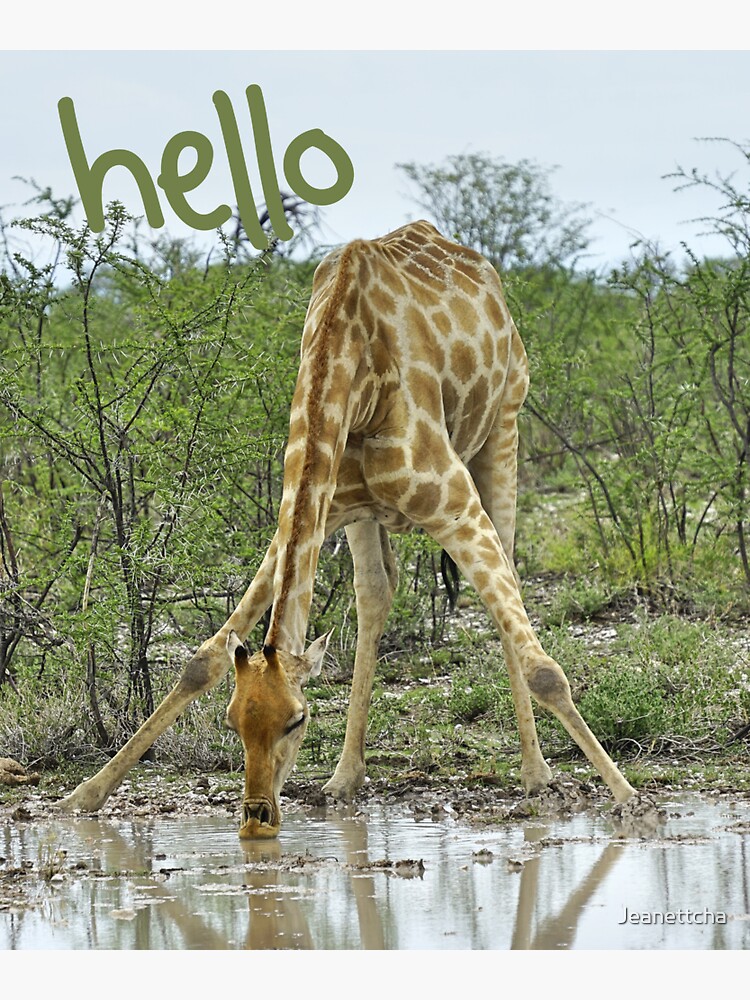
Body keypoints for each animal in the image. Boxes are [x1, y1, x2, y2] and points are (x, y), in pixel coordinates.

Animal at [58, 220, 635, 836]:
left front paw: (627, 797)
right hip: (366, 515)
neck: (352, 368)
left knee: (508, 595)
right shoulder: (309, 510)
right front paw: (82, 796)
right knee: (375, 595)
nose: (256, 819)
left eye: (298, 720)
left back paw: (535, 773)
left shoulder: (457, 507)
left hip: (504, 430)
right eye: (233, 723)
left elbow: (542, 667)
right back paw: (344, 777)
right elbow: (203, 661)